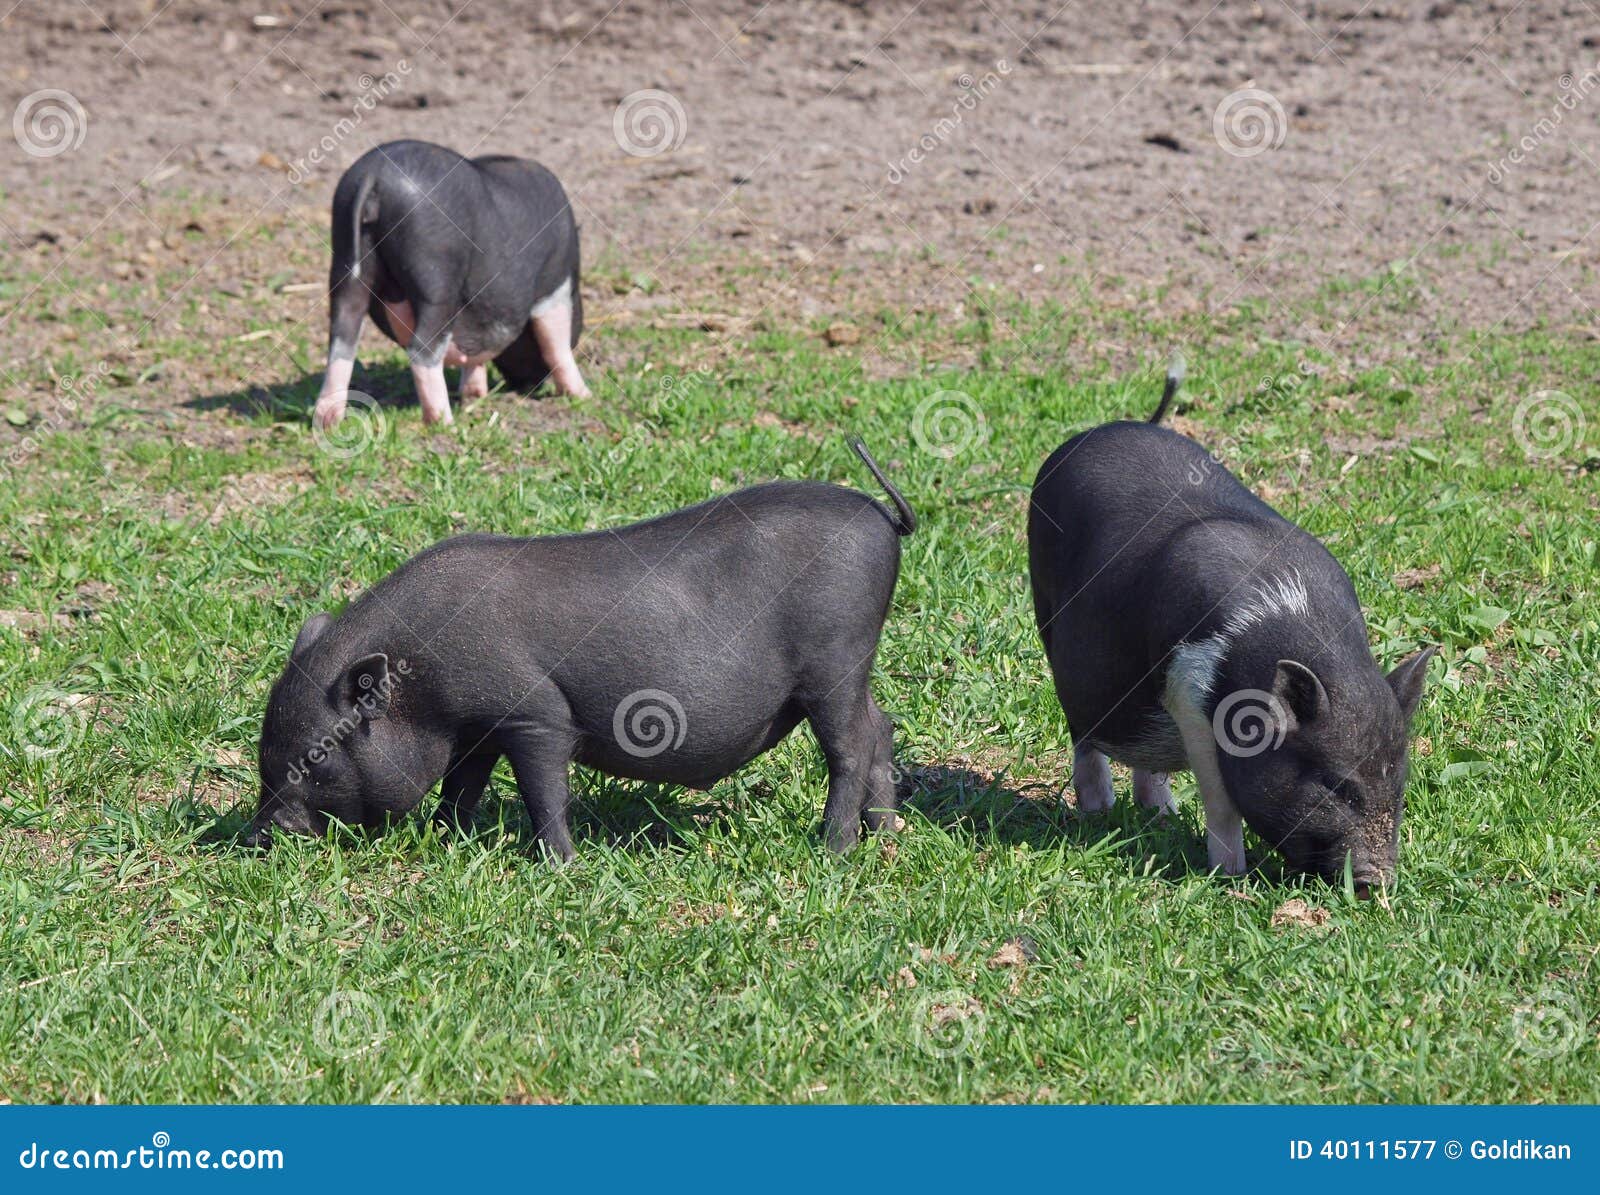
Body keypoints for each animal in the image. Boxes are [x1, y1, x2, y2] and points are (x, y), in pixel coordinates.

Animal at [248, 439, 916, 859]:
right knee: (881, 726)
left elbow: (545, 791)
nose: (262, 835)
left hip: (835, 661)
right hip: (852, 669)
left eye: (317, 754)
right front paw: (445, 840)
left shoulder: (534, 715)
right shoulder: (478, 729)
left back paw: (833, 850)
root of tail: (882, 516)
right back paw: (887, 838)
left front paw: (561, 864)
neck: (420, 679)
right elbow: (460, 786)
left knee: (851, 745)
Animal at [314, 139, 589, 431]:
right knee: (422, 349)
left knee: (342, 337)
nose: (525, 386)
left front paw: (474, 395)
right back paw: (445, 422)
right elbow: (557, 345)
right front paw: (584, 395)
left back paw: (328, 421)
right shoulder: (553, 289)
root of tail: (374, 175)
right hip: (436, 279)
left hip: (345, 261)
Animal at [1027, 358, 1435, 895]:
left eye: (1399, 784)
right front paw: (1231, 879)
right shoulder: (1189, 696)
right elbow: (1221, 799)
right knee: (1081, 731)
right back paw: (1098, 812)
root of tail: (1106, 428)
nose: (1377, 881)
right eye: (1337, 786)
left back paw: (1160, 814)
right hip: (1047, 617)